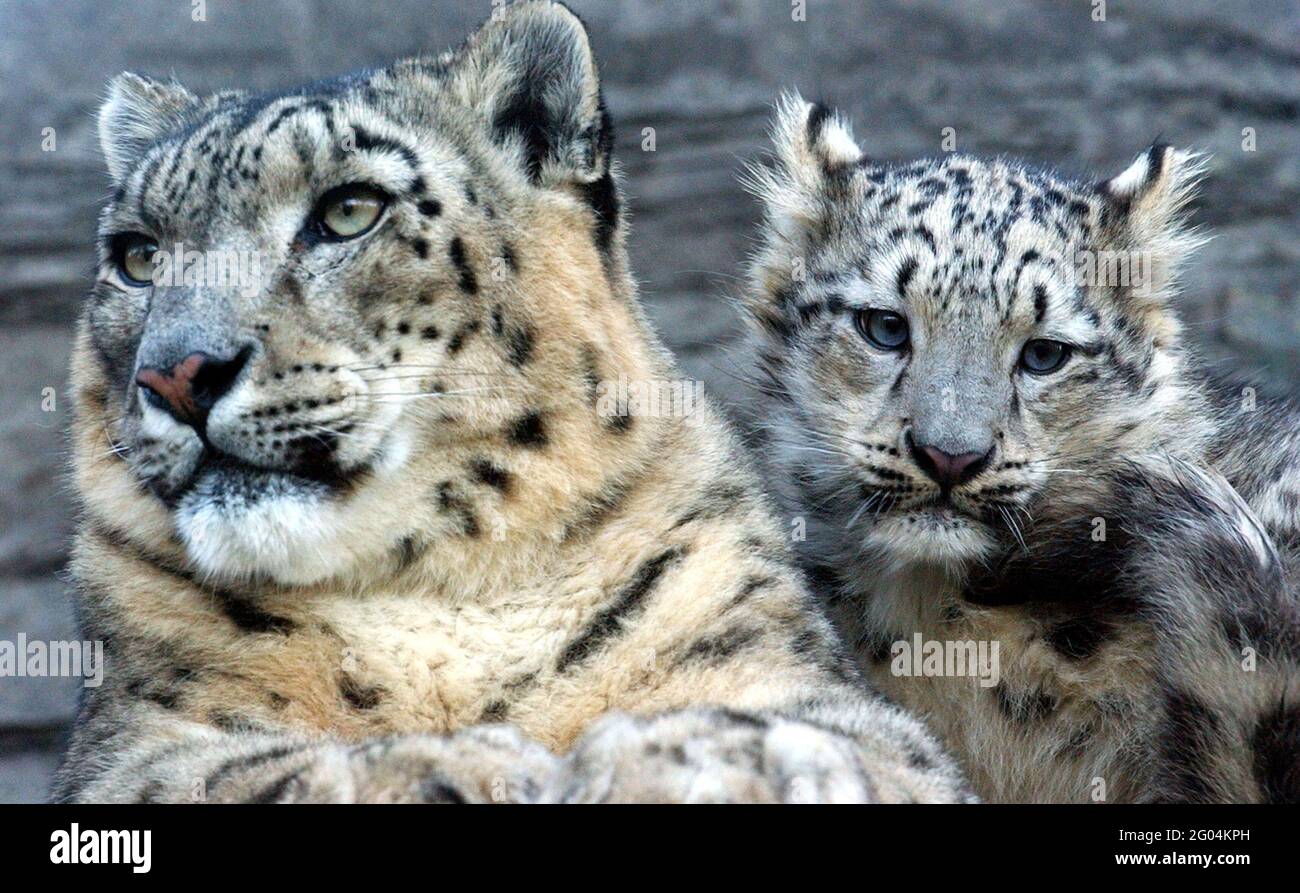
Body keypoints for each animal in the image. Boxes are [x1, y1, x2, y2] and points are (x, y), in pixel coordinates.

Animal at [50, 4, 972, 804]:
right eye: (137, 255)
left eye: (349, 210)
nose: (177, 373)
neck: (435, 599)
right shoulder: (132, 738)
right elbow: (239, 773)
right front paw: (467, 761)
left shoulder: (776, 656)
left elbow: (830, 735)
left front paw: (673, 756)